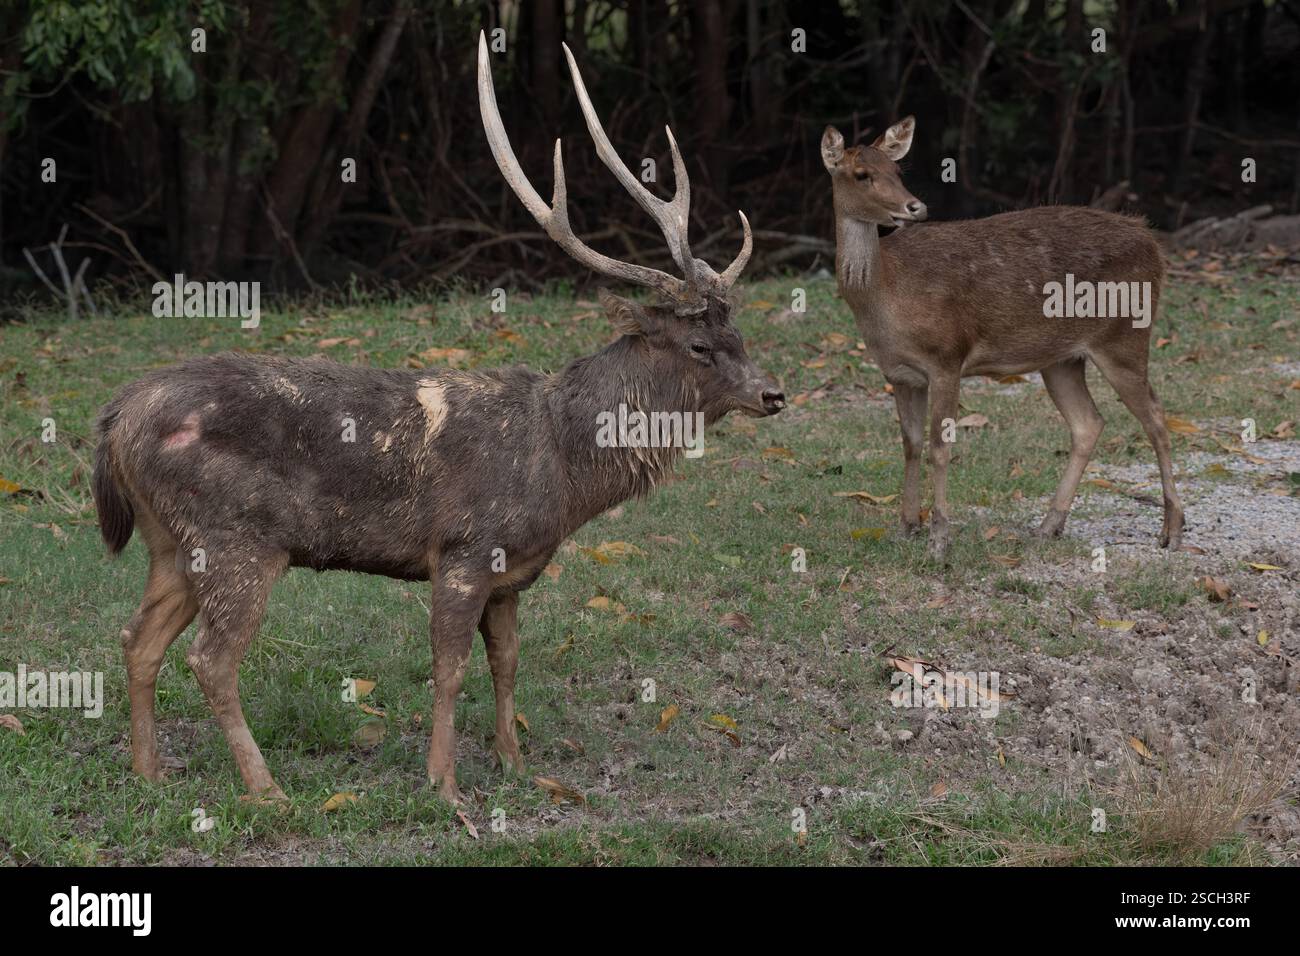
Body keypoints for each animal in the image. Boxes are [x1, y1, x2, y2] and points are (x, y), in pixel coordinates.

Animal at [91, 32, 784, 806]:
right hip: (235, 533)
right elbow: (448, 670)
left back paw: (149, 773)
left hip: (170, 543)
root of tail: (116, 417)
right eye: (699, 346)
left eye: (740, 335)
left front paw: (517, 766)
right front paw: (444, 784)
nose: (773, 394)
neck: (563, 469)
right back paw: (266, 791)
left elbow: (507, 663)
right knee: (210, 659)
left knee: (137, 638)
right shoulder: (463, 549)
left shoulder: (513, 574)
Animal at [820, 117, 1183, 561]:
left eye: (897, 170)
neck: (888, 296)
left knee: (1157, 418)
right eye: (862, 174)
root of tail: (1153, 245)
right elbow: (910, 444)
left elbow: (941, 447)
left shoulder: (947, 356)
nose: (914, 206)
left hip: (1125, 337)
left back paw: (1171, 529)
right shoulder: (899, 373)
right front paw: (906, 528)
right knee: (1089, 422)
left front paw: (939, 540)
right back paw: (1049, 526)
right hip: (1062, 358)